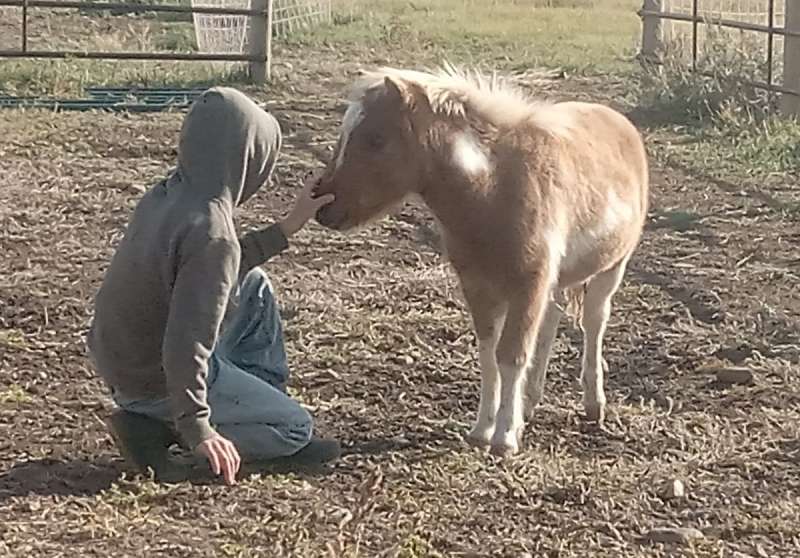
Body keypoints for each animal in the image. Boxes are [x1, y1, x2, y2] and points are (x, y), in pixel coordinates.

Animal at [313, 64, 649, 457]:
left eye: (376, 139)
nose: (324, 206)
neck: (493, 188)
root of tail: (617, 120)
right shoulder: (478, 286)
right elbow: (489, 355)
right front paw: (483, 429)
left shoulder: (528, 284)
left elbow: (511, 356)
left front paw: (504, 438)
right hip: (559, 278)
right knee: (552, 320)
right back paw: (530, 403)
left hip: (611, 267)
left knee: (594, 323)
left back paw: (593, 403)